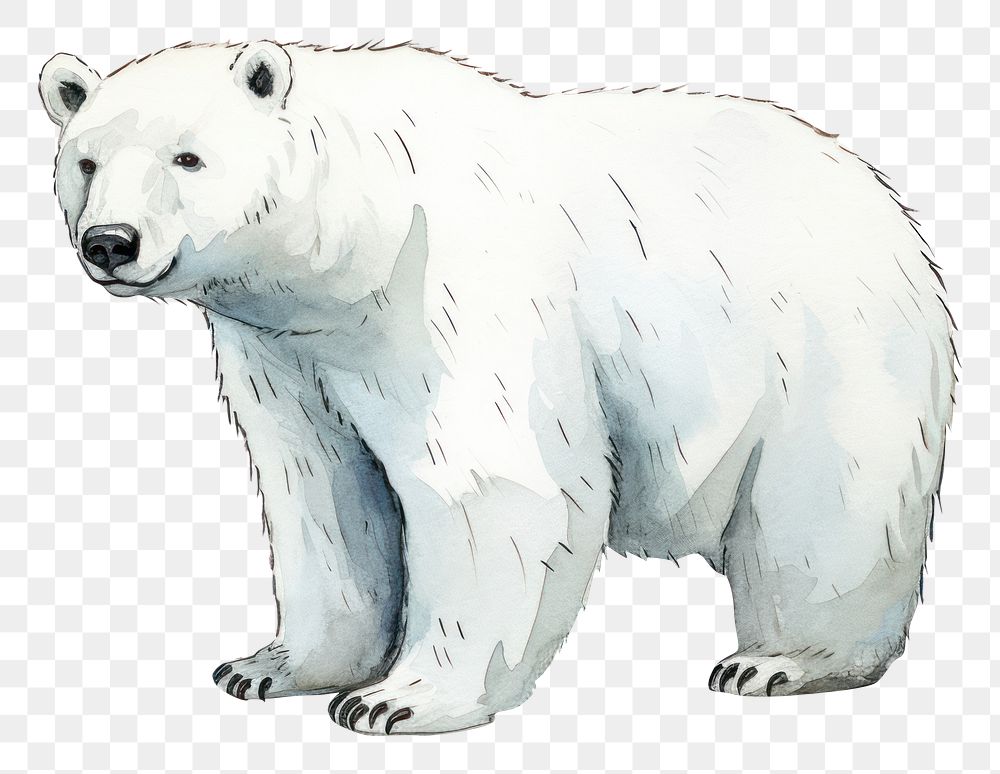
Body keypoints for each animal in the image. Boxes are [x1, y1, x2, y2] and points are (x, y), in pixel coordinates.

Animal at [40, 41, 955, 734]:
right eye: (86, 161)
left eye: (188, 156)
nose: (111, 242)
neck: (352, 250)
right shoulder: (284, 351)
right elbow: (321, 491)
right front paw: (270, 665)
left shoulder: (452, 292)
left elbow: (491, 485)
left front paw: (395, 700)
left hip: (828, 346)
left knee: (824, 509)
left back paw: (780, 660)